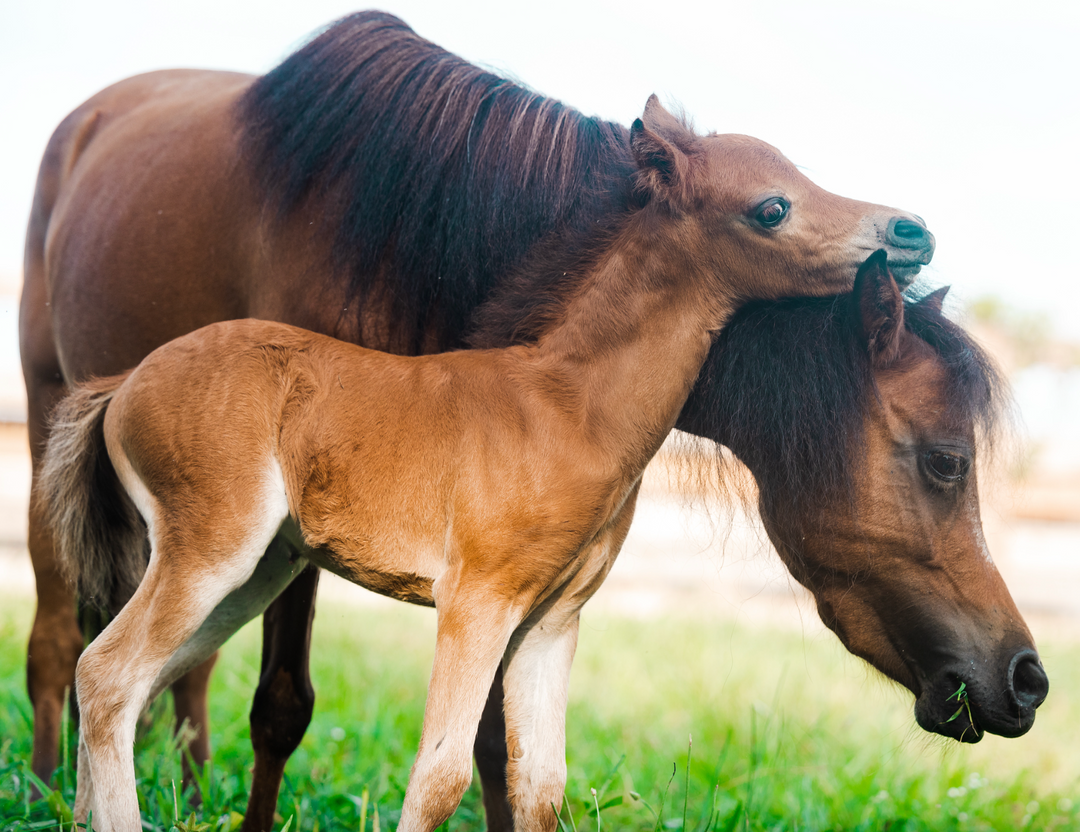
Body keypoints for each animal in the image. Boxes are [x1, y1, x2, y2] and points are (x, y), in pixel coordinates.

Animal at [20, 10, 942, 829]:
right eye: (771, 208)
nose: (912, 231)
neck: (566, 403)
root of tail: (123, 384)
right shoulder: (476, 603)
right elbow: (439, 779)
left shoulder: (552, 621)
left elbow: (539, 788)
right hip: (208, 548)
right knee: (106, 672)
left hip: (258, 569)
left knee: (130, 678)